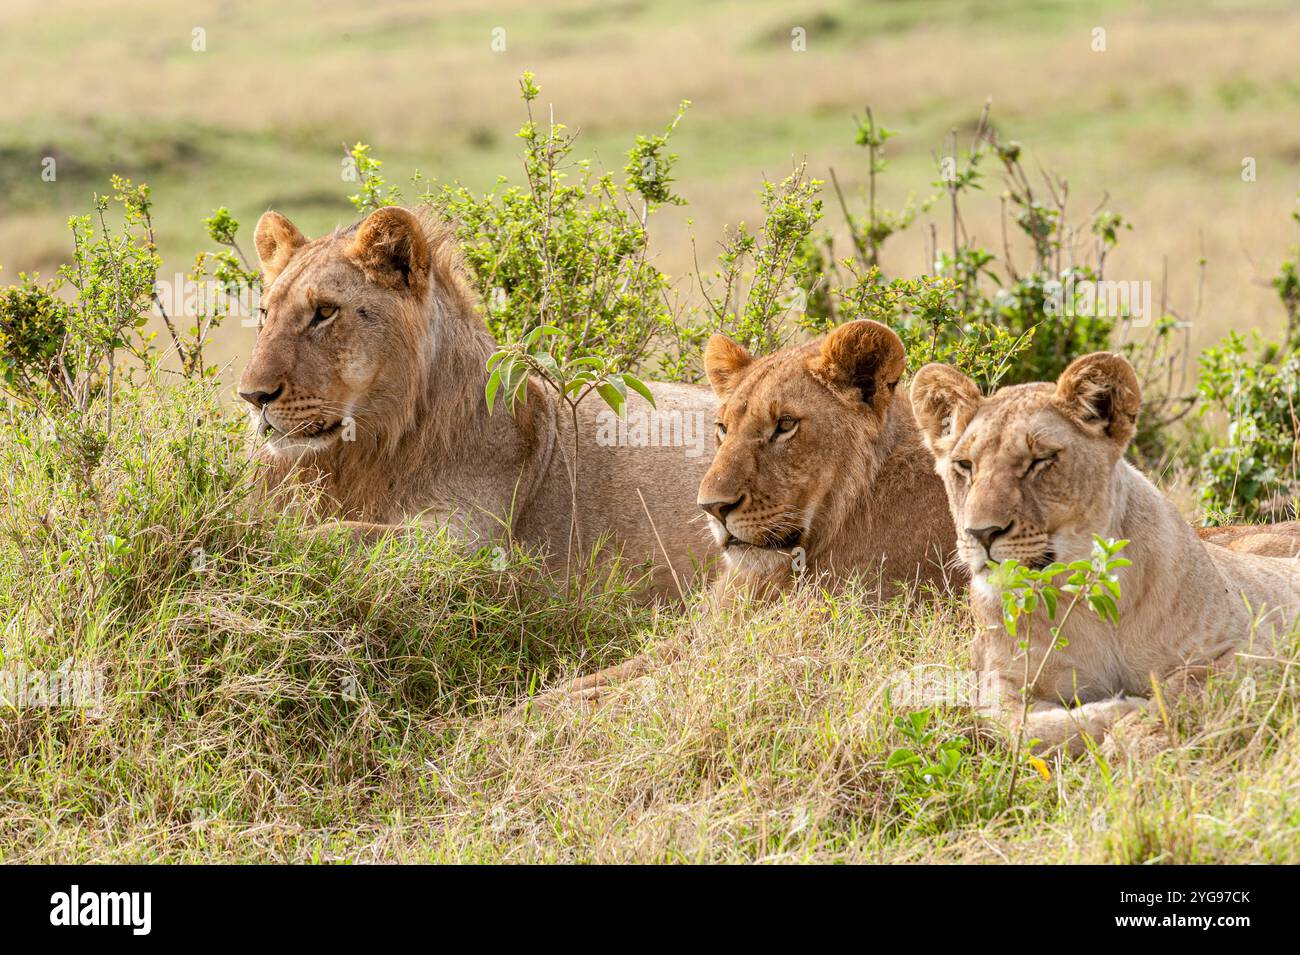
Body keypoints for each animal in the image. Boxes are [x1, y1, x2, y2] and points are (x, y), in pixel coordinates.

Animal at [237, 206, 718, 600]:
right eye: (264, 314)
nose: (252, 397)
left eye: (324, 312)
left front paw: (264, 540)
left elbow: (337, 533)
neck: (363, 452)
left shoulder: (472, 541)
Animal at [911, 352, 1300, 755]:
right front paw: (1120, 710)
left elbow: (1187, 685)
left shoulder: (1256, 648)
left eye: (1040, 460)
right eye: (964, 465)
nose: (981, 533)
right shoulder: (996, 680)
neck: (1084, 596)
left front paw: (1134, 731)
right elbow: (1015, 728)